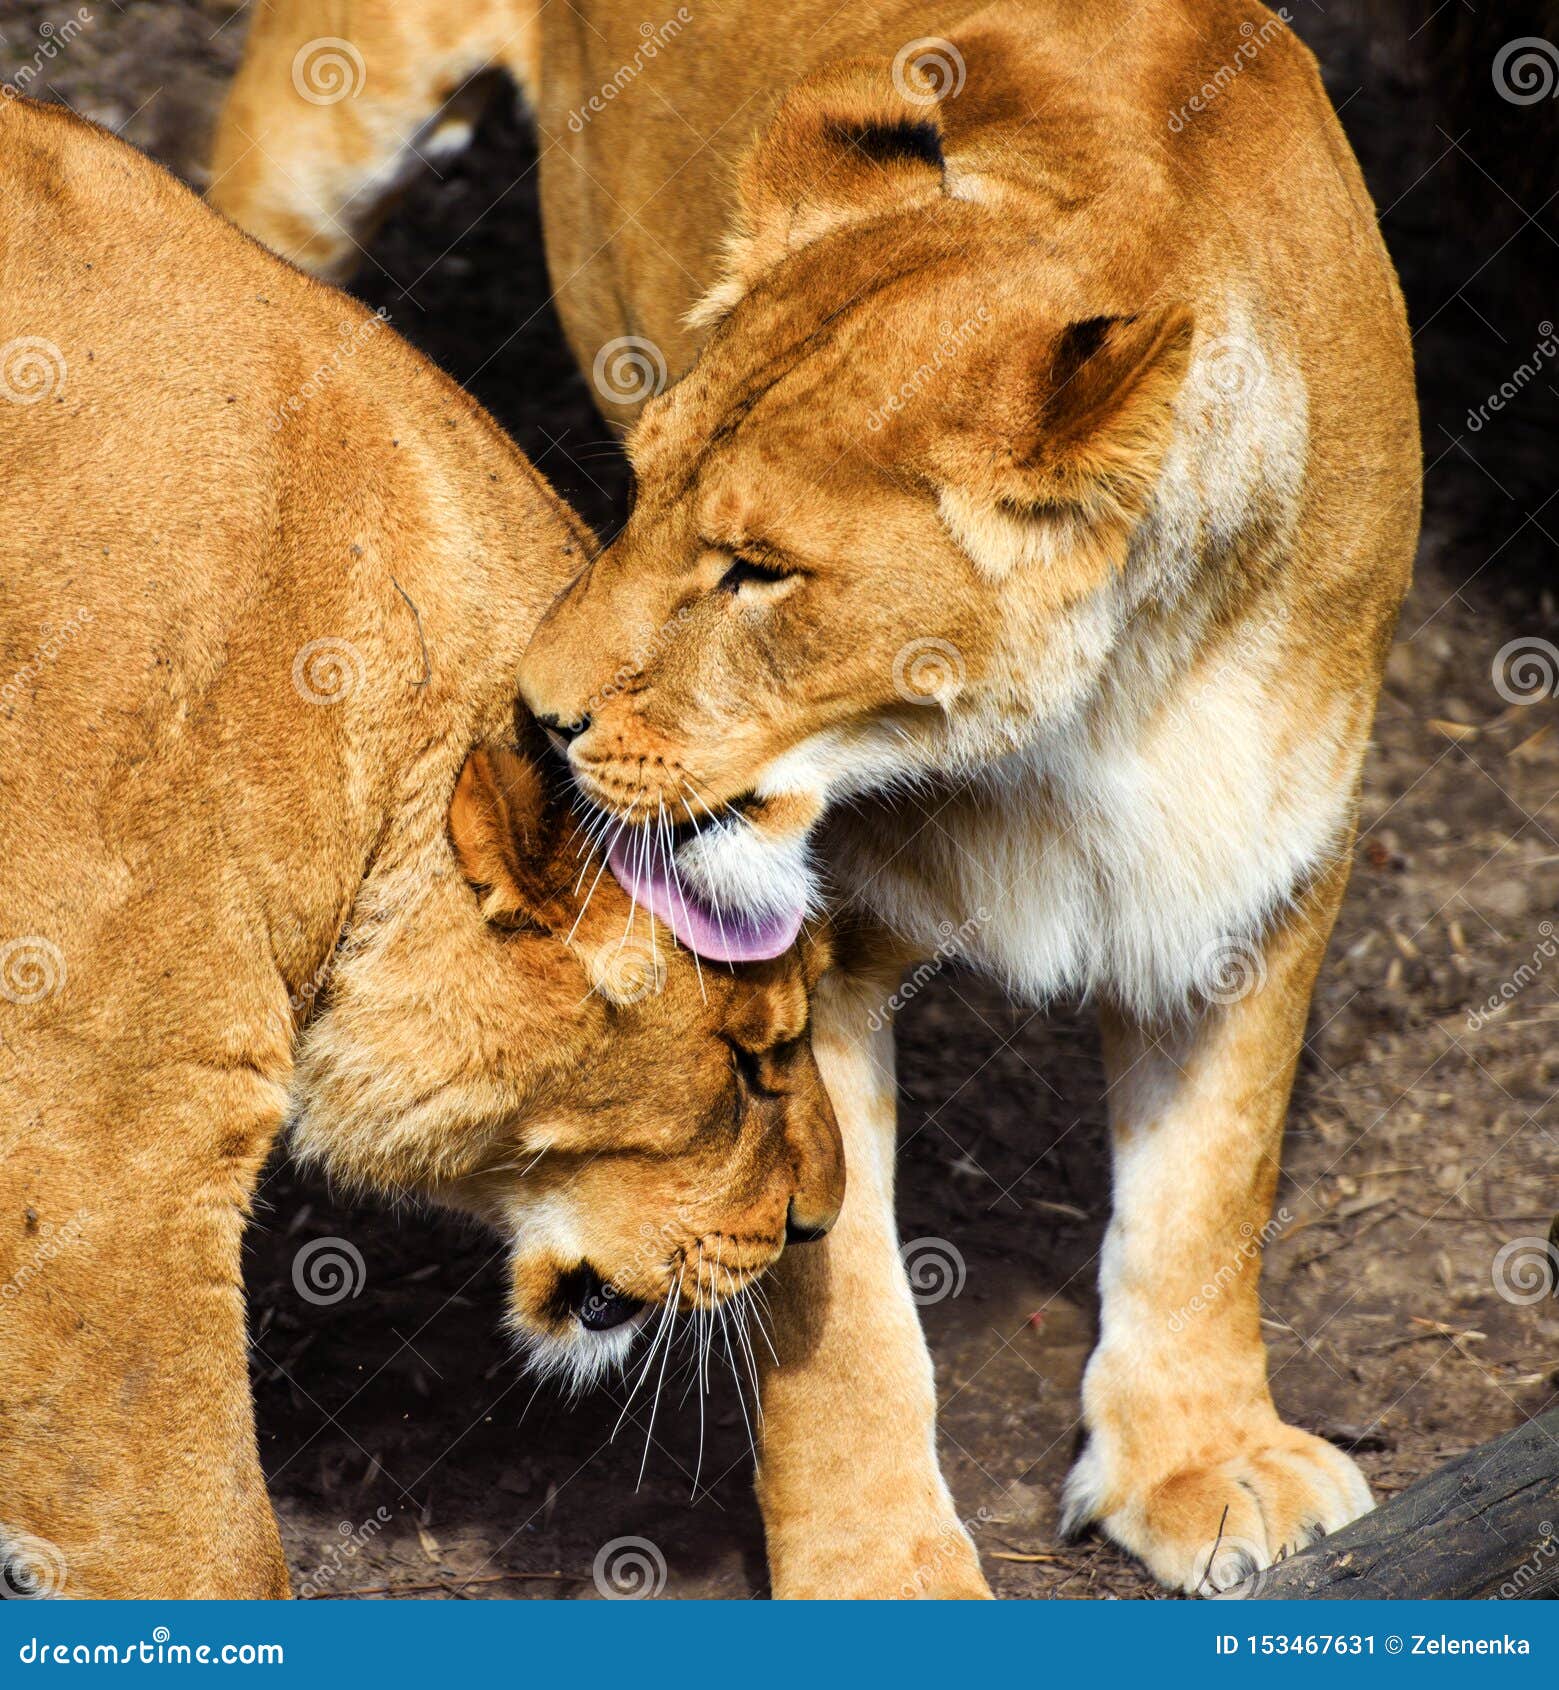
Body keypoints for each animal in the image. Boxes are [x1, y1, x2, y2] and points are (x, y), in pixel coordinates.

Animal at [210, 0, 1420, 1599]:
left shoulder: (1257, 867)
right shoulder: (806, 965)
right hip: (316, 131)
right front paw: (880, 1572)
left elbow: (1210, 1186)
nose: (534, 713)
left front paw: (1197, 1458)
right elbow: (835, 1311)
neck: (1078, 726)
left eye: (758, 570)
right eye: (640, 491)